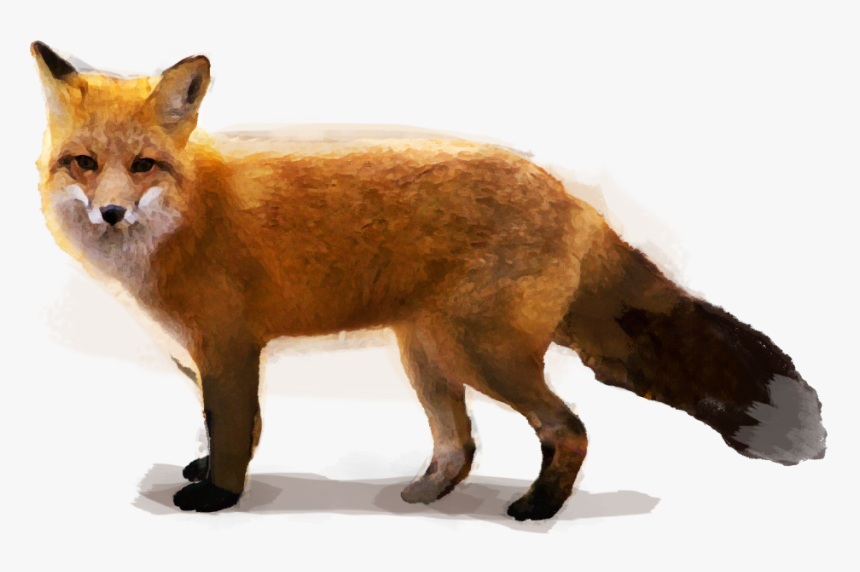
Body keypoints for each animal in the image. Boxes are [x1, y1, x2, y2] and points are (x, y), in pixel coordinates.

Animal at [32, 41, 826, 521]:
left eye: (142, 166)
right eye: (83, 164)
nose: (109, 212)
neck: (186, 217)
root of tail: (568, 195)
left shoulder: (229, 347)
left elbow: (235, 429)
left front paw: (220, 495)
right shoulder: (200, 357)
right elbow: (227, 426)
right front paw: (202, 475)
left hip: (479, 353)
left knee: (567, 429)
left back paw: (538, 510)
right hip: (427, 354)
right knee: (461, 445)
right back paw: (425, 492)